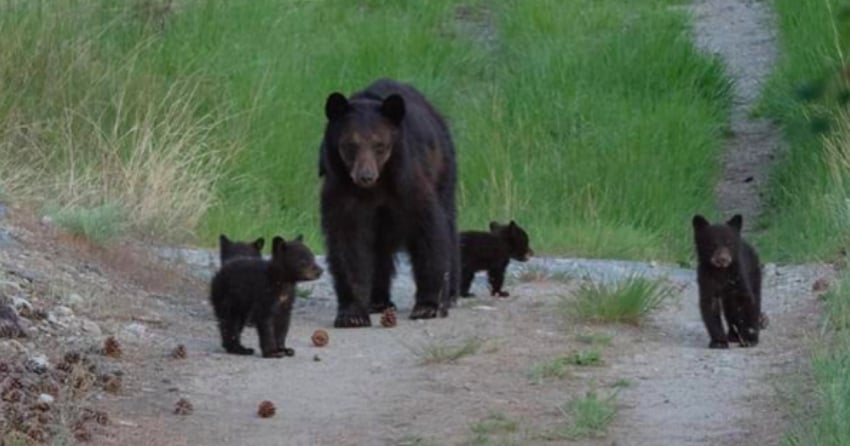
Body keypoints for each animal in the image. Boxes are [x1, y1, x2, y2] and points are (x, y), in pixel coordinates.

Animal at [318, 78, 460, 327]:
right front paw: (352, 314)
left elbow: (429, 231)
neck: (377, 188)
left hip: (444, 170)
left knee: (448, 223)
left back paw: (450, 294)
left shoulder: (410, 183)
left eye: (380, 145)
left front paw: (428, 305)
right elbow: (348, 244)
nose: (365, 176)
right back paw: (378, 301)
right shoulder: (341, 191)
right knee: (379, 249)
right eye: (350, 145)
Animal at [692, 214, 763, 349]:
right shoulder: (706, 281)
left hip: (754, 275)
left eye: (729, 243)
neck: (721, 272)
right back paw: (732, 335)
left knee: (754, 300)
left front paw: (750, 339)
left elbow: (747, 302)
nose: (722, 259)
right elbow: (710, 308)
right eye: (713, 244)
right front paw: (719, 342)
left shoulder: (738, 278)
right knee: (730, 312)